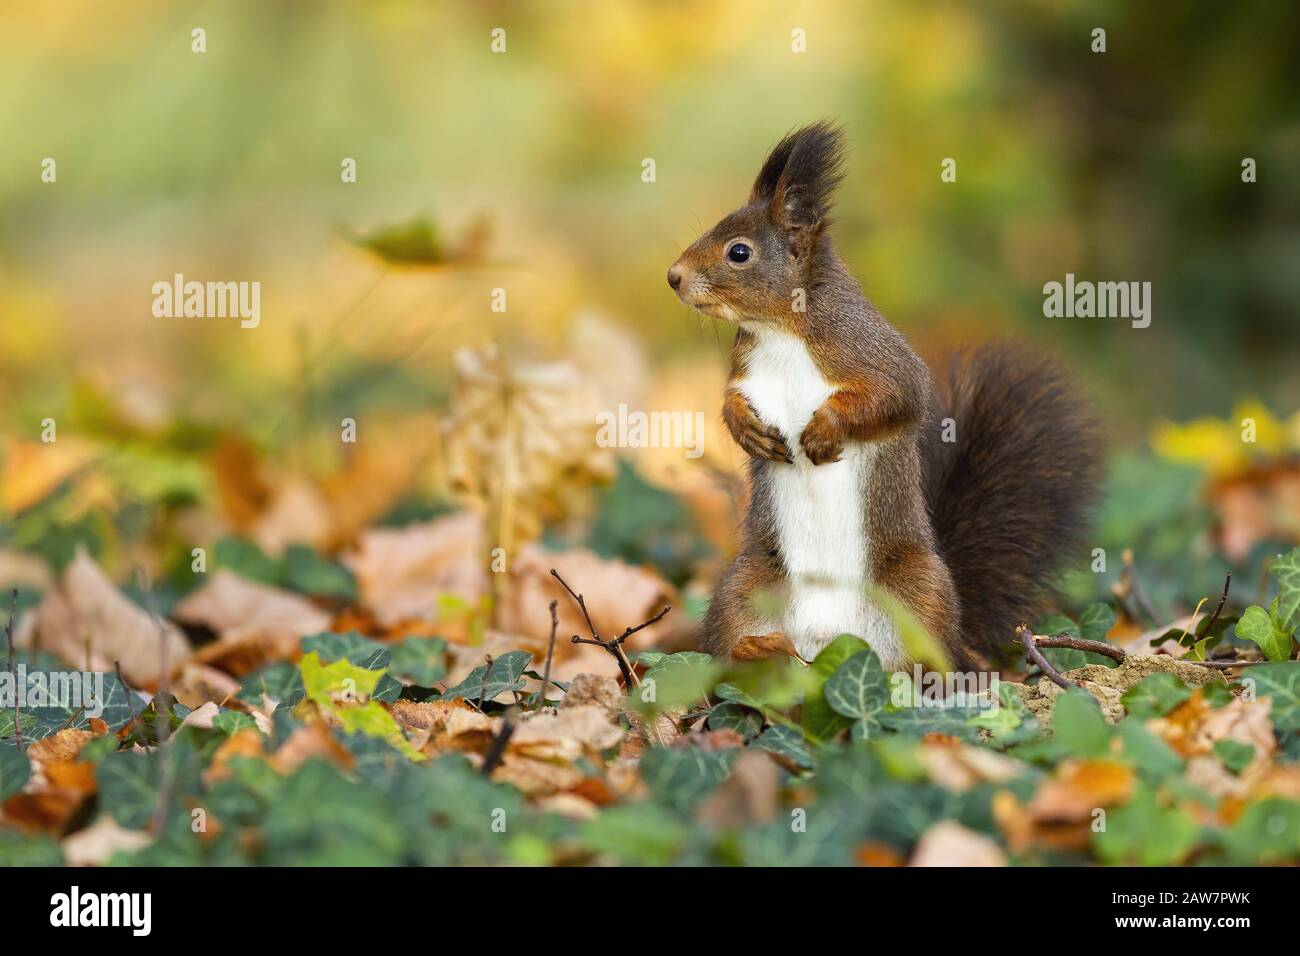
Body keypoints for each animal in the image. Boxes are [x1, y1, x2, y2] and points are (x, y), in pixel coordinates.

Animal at [667, 122, 1102, 671]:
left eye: (739, 252)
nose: (673, 277)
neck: (780, 330)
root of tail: (826, 644)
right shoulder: (747, 372)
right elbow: (729, 401)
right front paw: (747, 430)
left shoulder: (872, 352)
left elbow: (898, 397)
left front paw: (824, 430)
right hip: (745, 587)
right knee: (731, 646)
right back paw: (754, 650)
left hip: (921, 593)